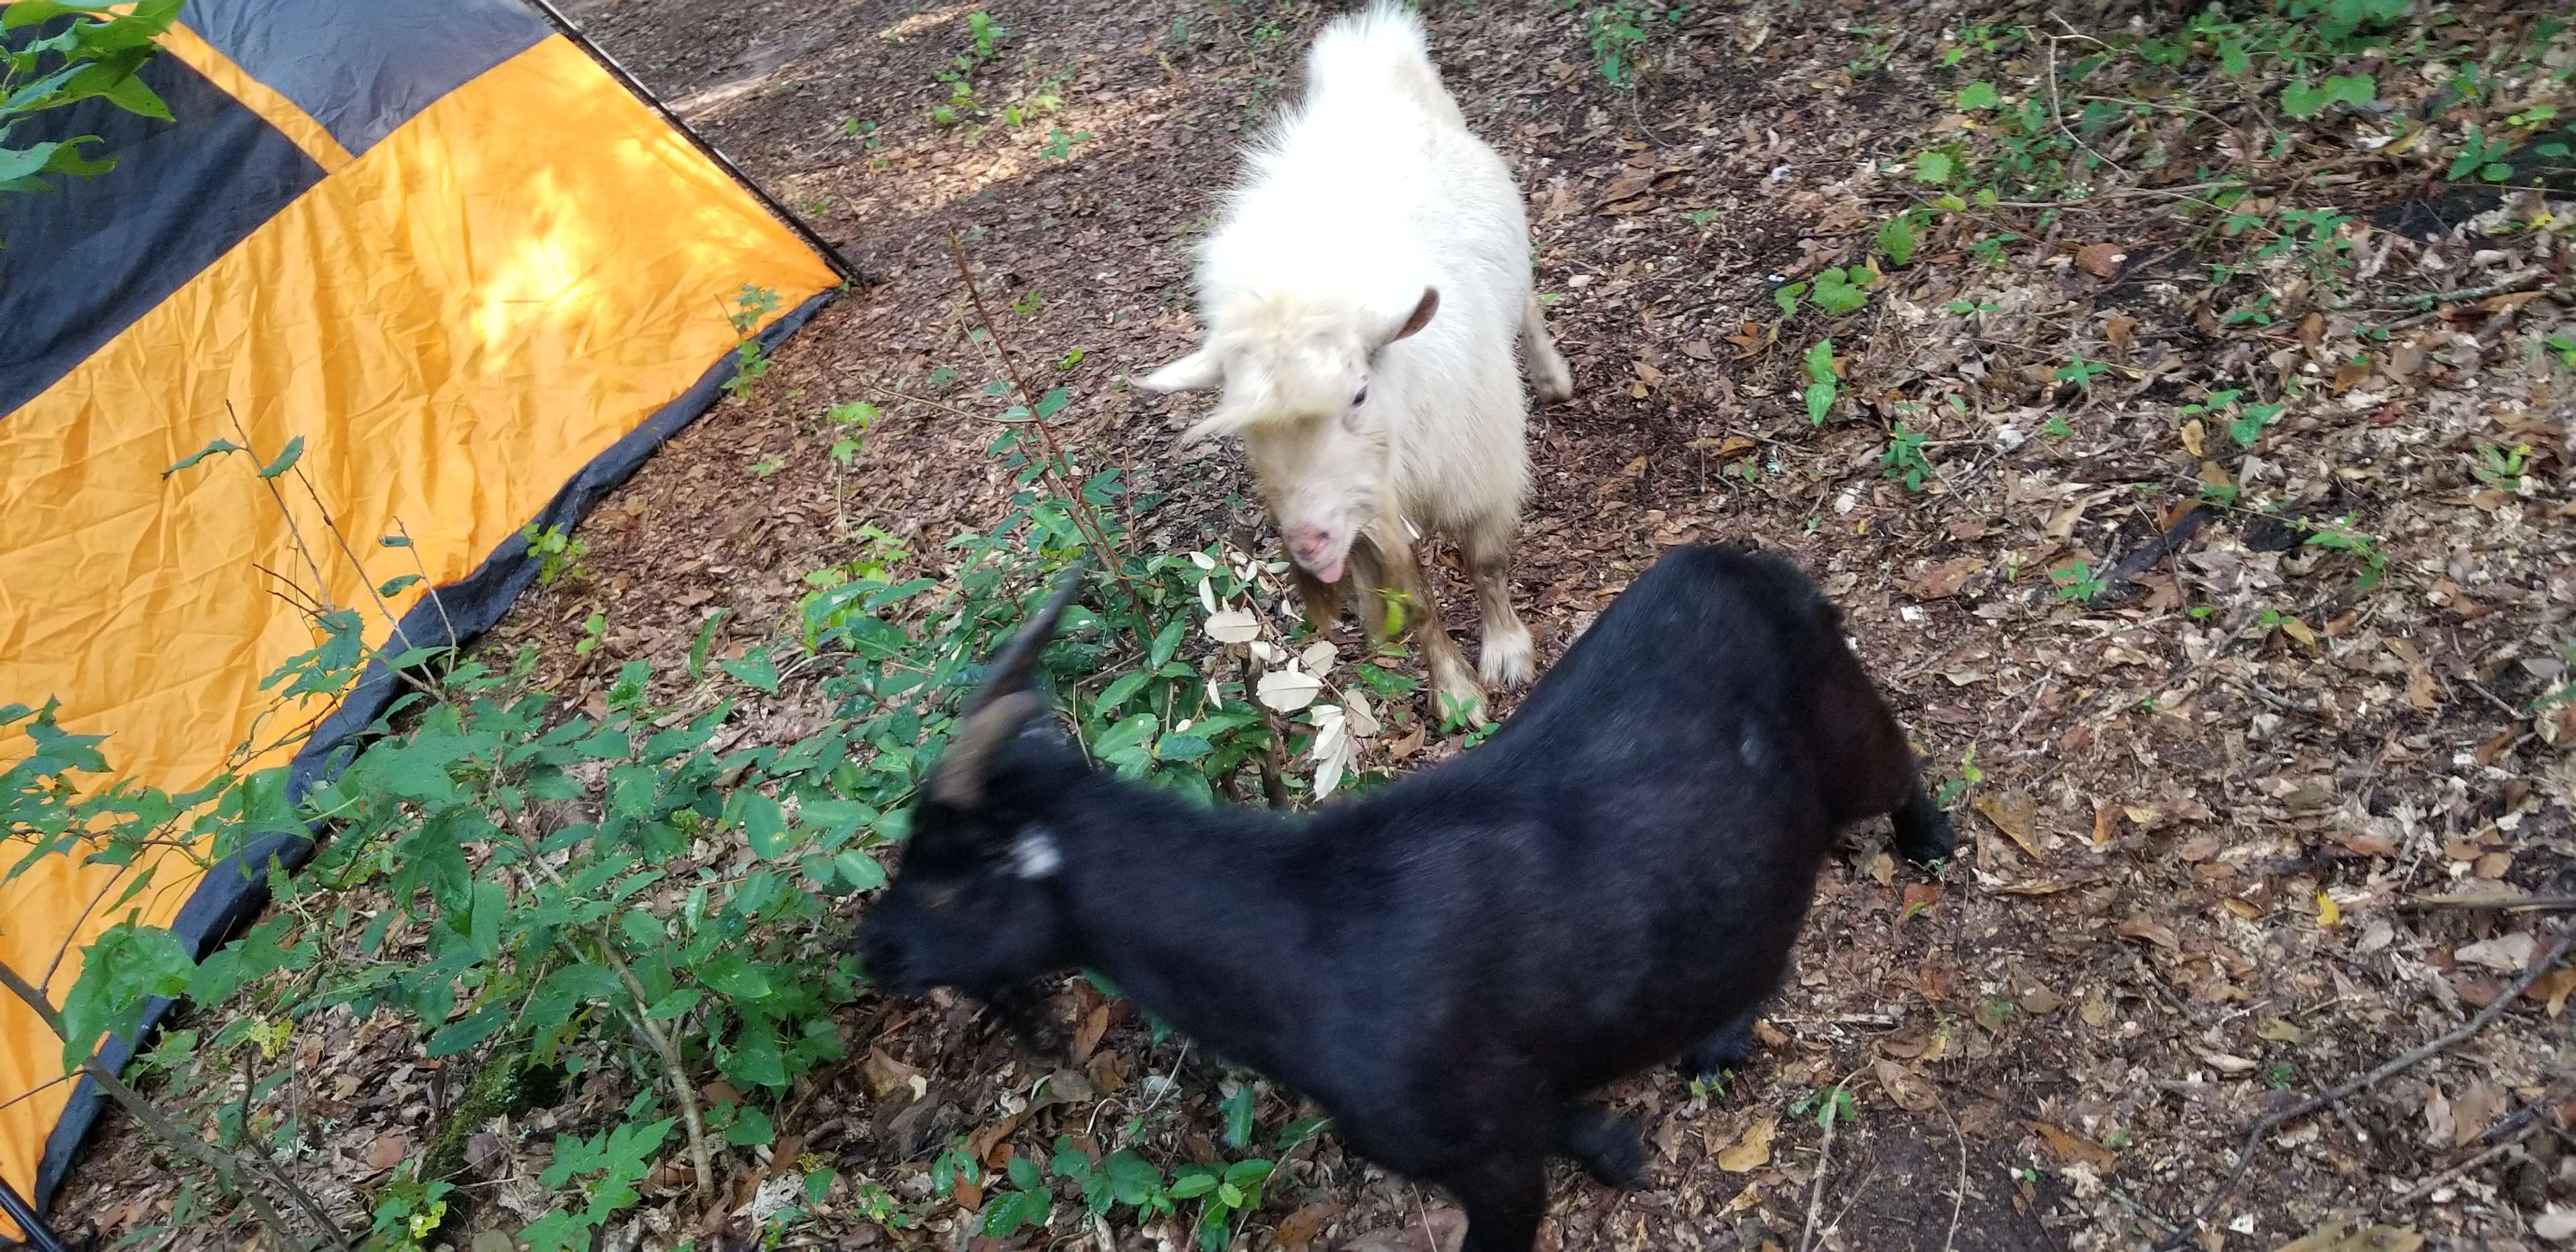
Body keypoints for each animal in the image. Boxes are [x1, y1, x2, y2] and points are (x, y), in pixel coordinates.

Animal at [859, 545, 1953, 1252]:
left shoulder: (1488, 1158)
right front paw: (1615, 1144)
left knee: (1898, 766)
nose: (874, 946)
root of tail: (1760, 563)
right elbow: (1576, 1117)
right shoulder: (1517, 1100)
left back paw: (1930, 841)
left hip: (1844, 726)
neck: (1308, 939)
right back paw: (1718, 1038)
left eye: (951, 875)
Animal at [1138, 2, 1573, 721]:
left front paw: (1507, 652)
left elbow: (1485, 562)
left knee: (1530, 303)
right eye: (1247, 429)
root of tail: (1369, 51)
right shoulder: (1364, 514)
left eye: (1360, 393)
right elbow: (1417, 603)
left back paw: (1552, 377)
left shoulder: (1478, 470)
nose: (1309, 545)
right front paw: (1454, 692)